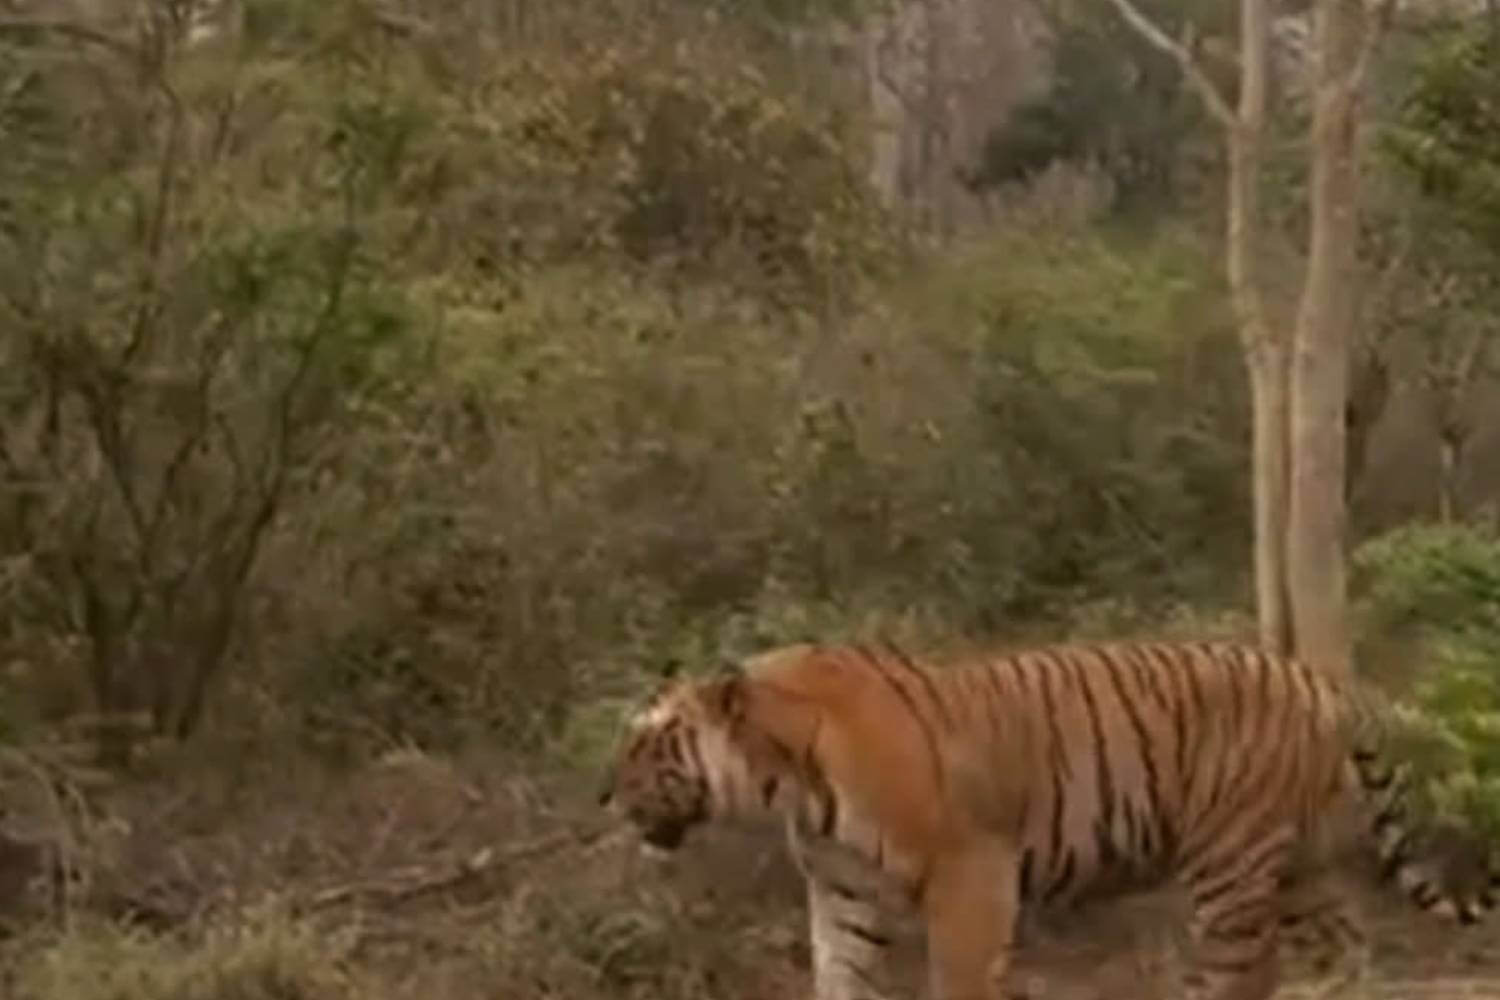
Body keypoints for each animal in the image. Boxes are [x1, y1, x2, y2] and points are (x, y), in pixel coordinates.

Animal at [598, 638, 1499, 1000]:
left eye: (646, 742)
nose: (603, 794)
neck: (786, 786)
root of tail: (1321, 680)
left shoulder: (971, 877)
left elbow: (958, 983)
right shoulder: (845, 894)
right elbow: (840, 979)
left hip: (1231, 867)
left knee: (1241, 975)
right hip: (1291, 864)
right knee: (1346, 938)